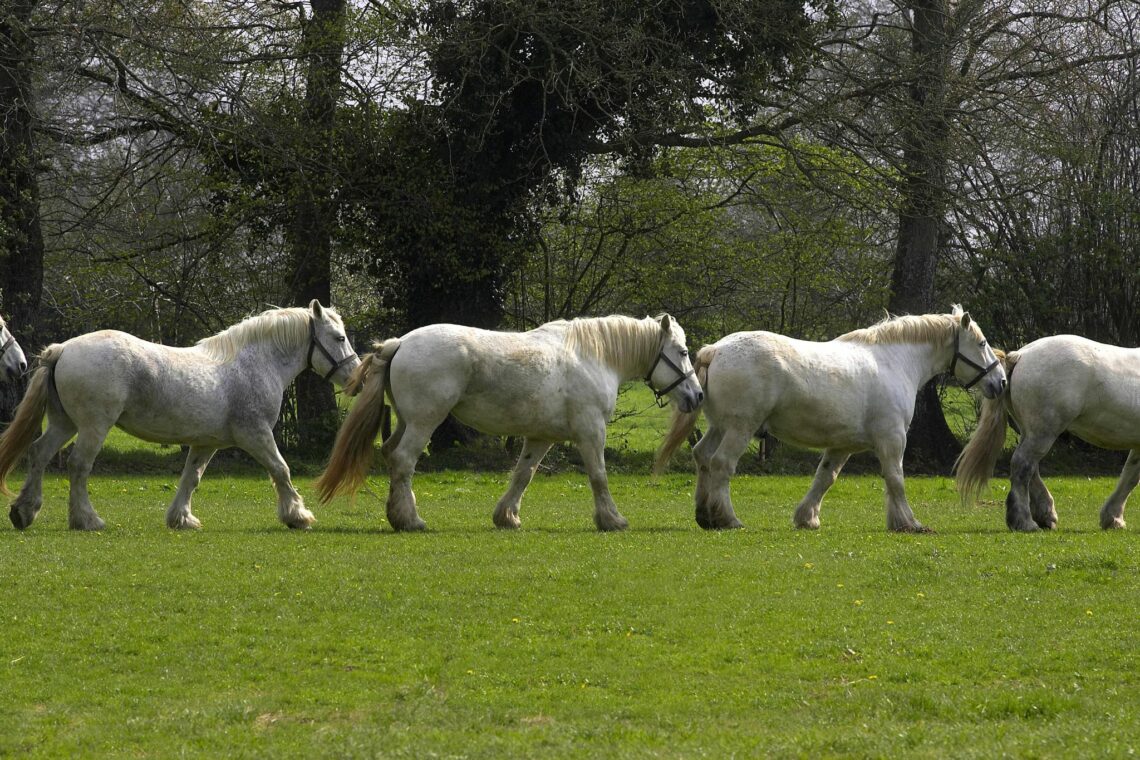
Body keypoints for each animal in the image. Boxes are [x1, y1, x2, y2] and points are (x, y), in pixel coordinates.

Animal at [0, 300, 359, 531]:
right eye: (339, 337)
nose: (355, 377)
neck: (256, 363)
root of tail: (62, 349)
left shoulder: (206, 443)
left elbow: (191, 478)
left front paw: (181, 519)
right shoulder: (256, 435)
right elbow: (281, 470)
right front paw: (297, 516)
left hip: (65, 424)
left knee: (39, 453)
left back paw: (24, 512)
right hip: (93, 427)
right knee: (78, 466)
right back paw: (86, 520)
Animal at [315, 314, 703, 532]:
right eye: (683, 352)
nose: (697, 395)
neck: (592, 356)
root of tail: (400, 343)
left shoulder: (540, 438)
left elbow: (523, 475)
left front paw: (507, 517)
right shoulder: (590, 432)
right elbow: (598, 477)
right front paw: (612, 520)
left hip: (405, 422)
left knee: (392, 455)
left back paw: (398, 514)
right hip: (425, 423)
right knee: (403, 461)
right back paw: (410, 520)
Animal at [655, 306, 1006, 532]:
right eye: (982, 343)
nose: (1000, 381)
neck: (894, 361)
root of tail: (715, 350)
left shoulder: (842, 446)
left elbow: (825, 479)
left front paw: (807, 517)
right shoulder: (892, 439)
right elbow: (896, 479)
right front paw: (909, 522)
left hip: (720, 426)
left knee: (702, 457)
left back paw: (705, 516)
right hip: (740, 428)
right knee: (721, 465)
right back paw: (727, 519)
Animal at [955, 335, 1140, 532]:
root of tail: (1021, 355)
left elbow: (1130, 476)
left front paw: (1113, 518)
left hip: (1031, 433)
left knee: (1031, 469)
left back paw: (1045, 515)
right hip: (1043, 433)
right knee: (1023, 465)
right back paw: (1024, 521)